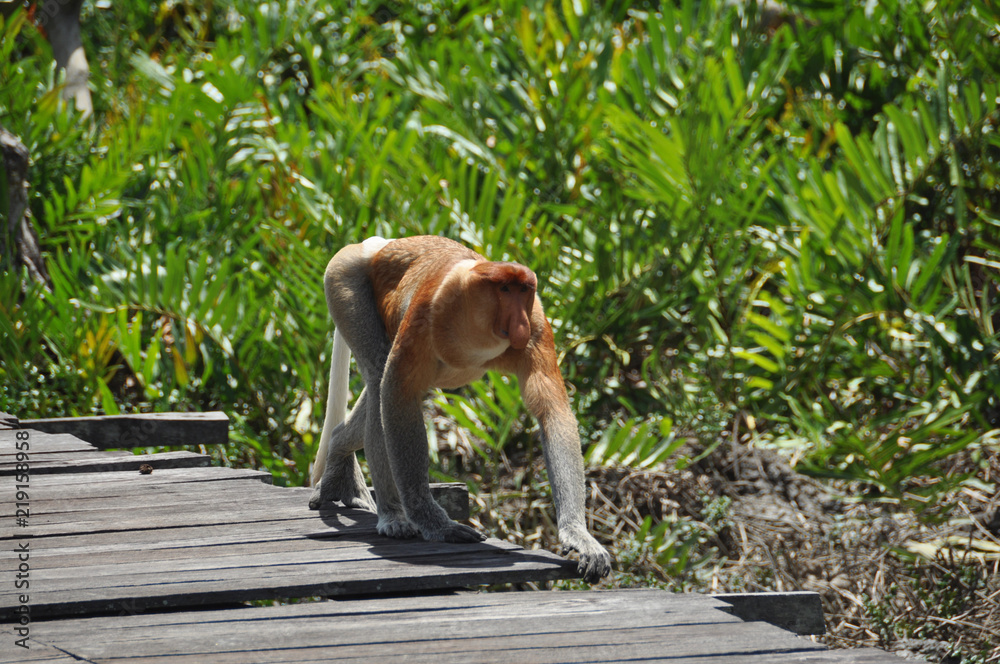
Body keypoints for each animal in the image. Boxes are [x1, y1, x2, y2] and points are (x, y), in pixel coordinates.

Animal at [308, 235, 612, 583]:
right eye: (504, 289)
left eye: (524, 290)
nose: (518, 324)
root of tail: (378, 244)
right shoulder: (425, 315)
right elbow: (398, 395)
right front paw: (437, 524)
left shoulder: (536, 328)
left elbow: (552, 410)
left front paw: (579, 536)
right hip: (344, 281)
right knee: (377, 377)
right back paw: (392, 516)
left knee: (376, 387)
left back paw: (338, 453)